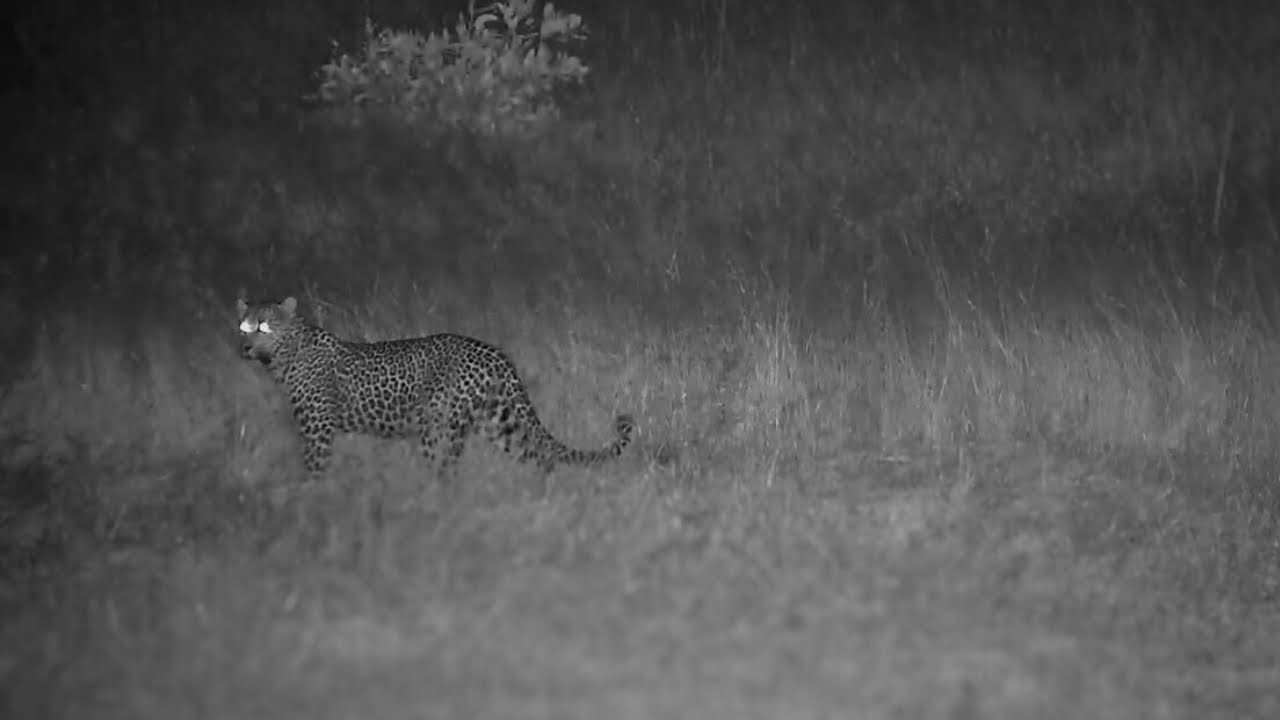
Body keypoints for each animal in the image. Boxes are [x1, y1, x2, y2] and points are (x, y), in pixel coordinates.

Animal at [237, 295, 634, 479]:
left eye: (265, 327)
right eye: (244, 327)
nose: (245, 348)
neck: (286, 356)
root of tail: (492, 353)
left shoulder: (317, 428)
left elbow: (314, 468)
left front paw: (311, 499)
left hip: (441, 425)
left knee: (445, 469)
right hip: (496, 420)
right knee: (538, 456)